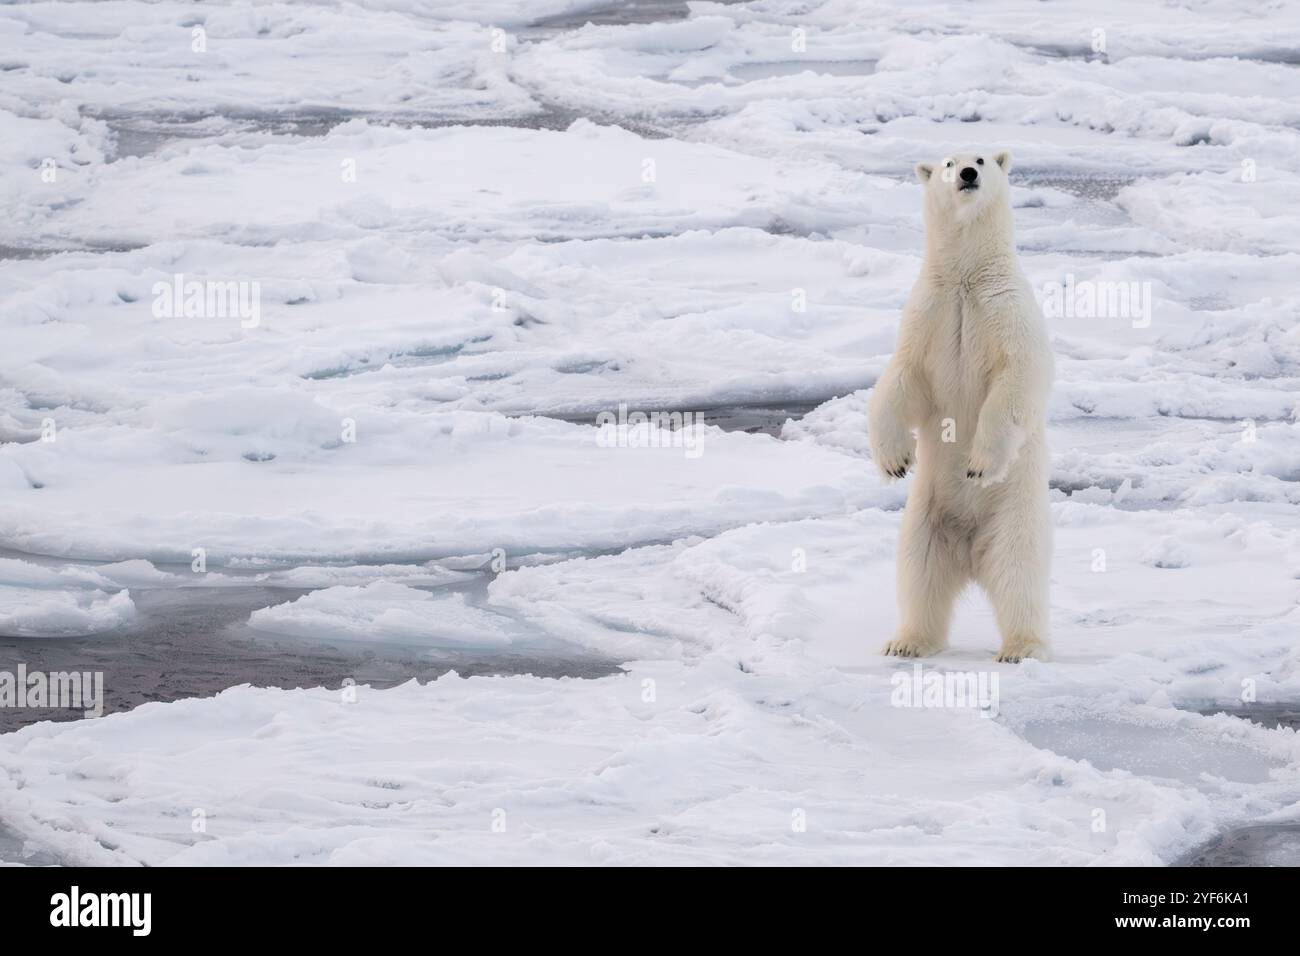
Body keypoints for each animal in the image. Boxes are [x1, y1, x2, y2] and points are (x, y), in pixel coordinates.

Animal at [868, 150, 1053, 662]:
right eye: (949, 162)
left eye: (982, 159)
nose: (968, 174)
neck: (967, 279)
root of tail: (970, 554)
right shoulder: (929, 312)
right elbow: (902, 380)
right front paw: (894, 460)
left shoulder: (1007, 311)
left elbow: (1015, 380)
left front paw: (978, 465)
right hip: (924, 518)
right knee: (919, 574)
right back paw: (907, 641)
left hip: (1015, 514)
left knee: (1018, 576)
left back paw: (1021, 647)